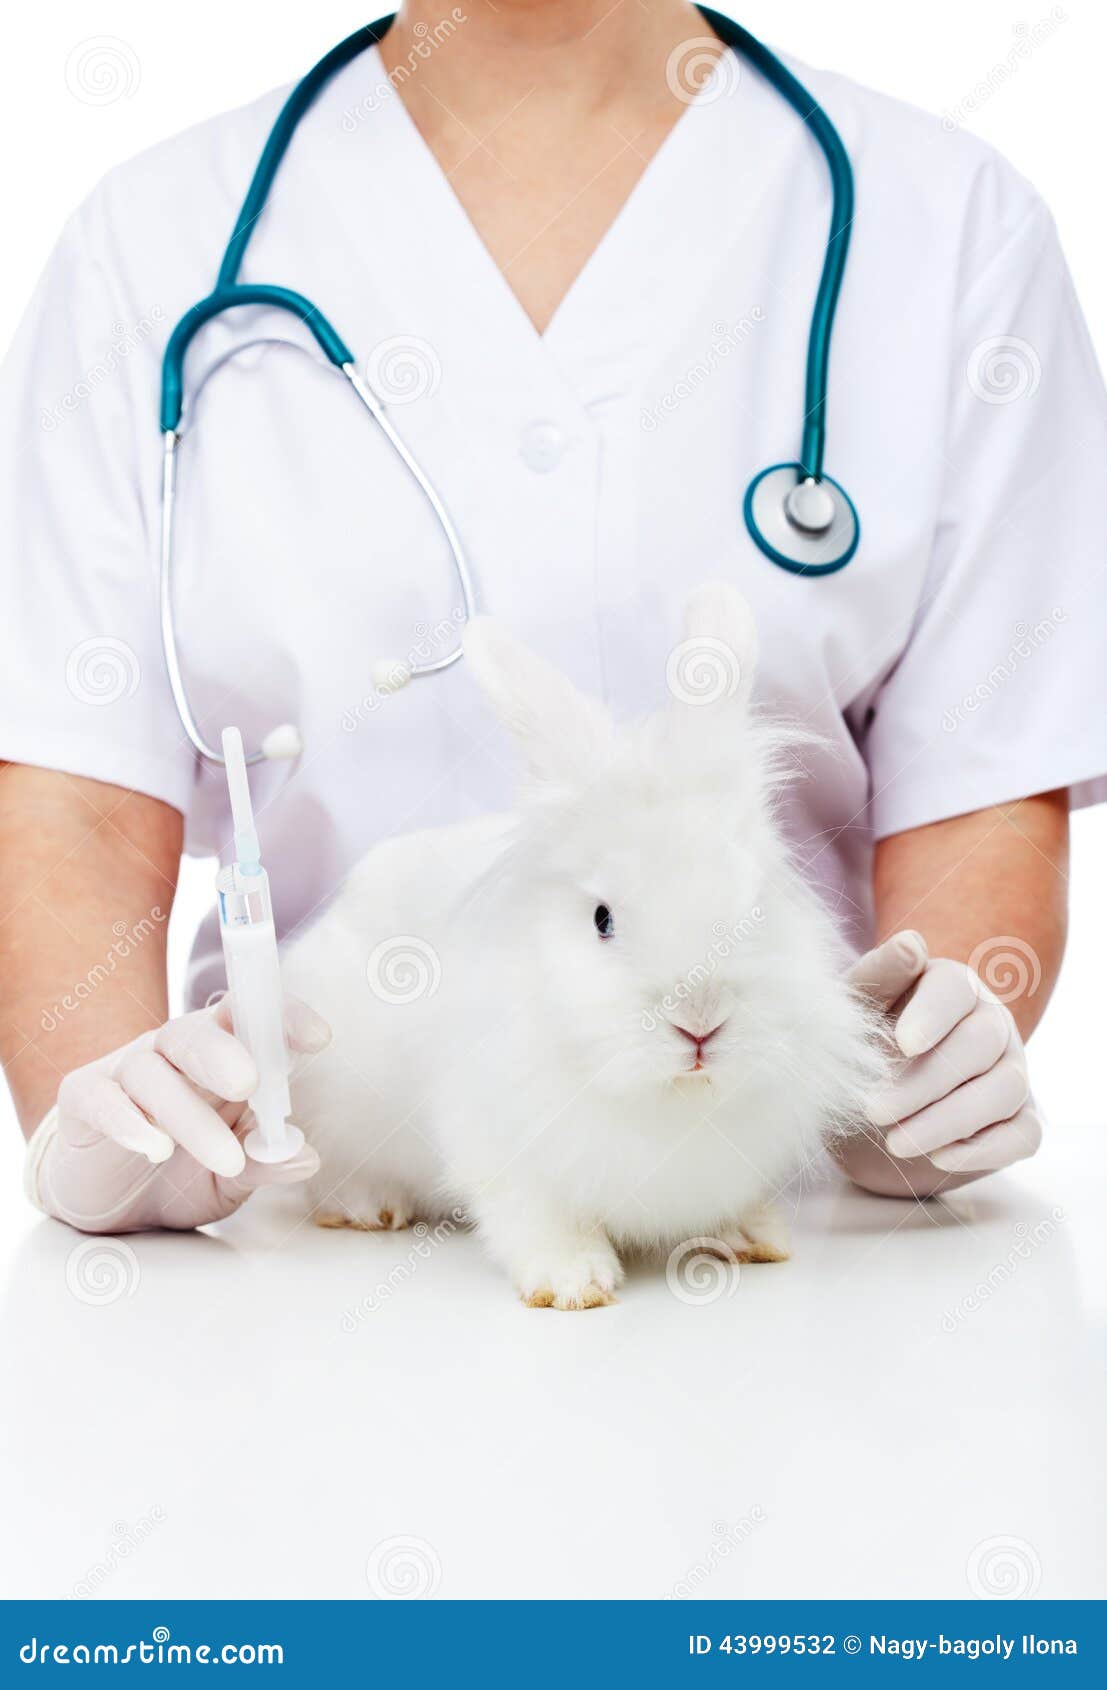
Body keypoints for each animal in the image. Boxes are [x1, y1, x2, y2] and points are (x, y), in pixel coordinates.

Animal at [282, 582, 887, 1308]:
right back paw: (370, 1208)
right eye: (602, 919)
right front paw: (572, 1282)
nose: (700, 1024)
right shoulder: (503, 1147)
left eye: (755, 907)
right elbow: (537, 1217)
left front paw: (752, 1238)